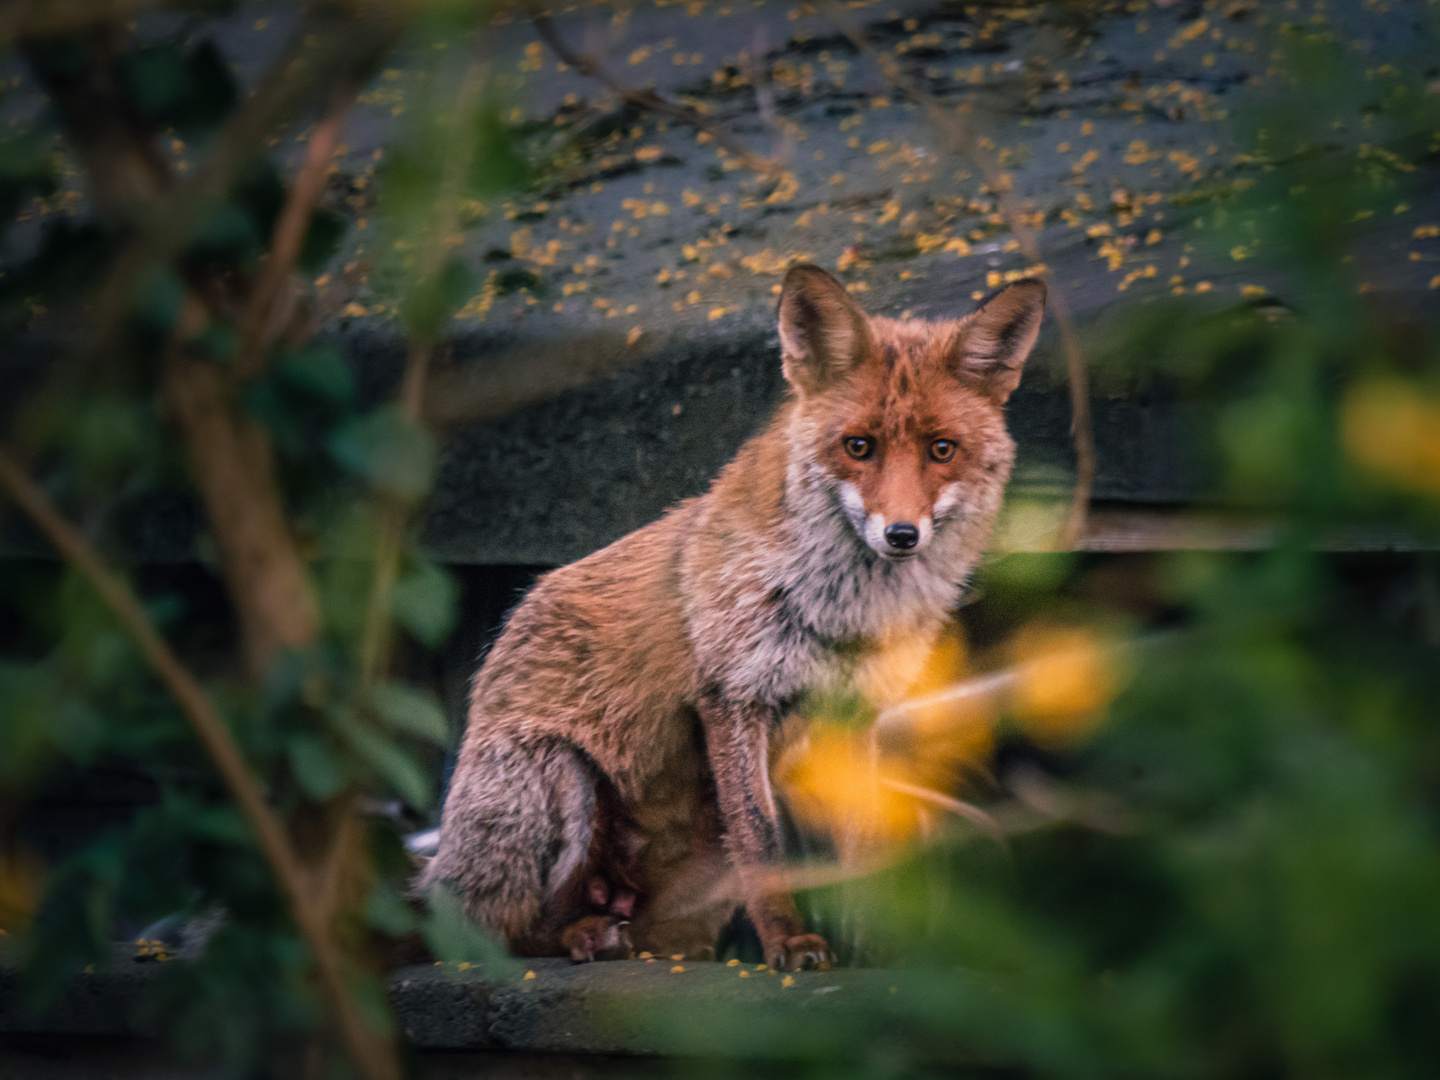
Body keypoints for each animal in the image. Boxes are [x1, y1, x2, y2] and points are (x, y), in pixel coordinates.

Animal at [421, 264, 1046, 971]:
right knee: (502, 937)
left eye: (942, 449)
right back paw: (579, 937)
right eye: (859, 447)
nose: (902, 534)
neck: (846, 615)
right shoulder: (733, 697)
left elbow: (862, 844)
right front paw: (791, 943)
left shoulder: (856, 714)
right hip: (562, 779)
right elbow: (764, 846)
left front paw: (876, 946)